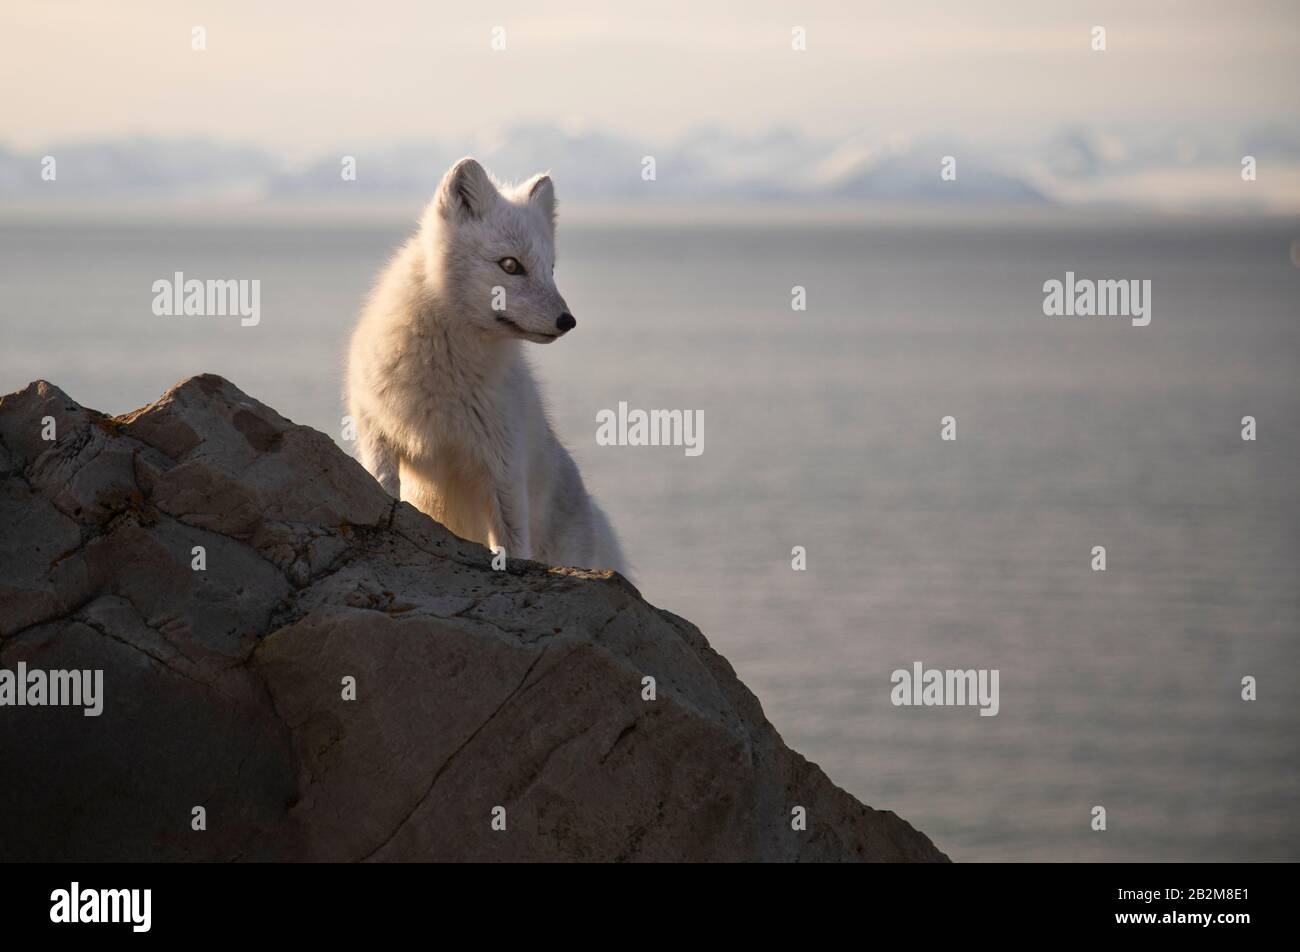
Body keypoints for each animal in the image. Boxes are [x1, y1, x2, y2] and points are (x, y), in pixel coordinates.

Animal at [344, 157, 627, 575]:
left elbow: (511, 544)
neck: (441, 369)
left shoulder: (503, 465)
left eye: (551, 268)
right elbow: (384, 489)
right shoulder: (376, 436)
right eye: (510, 265)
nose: (568, 321)